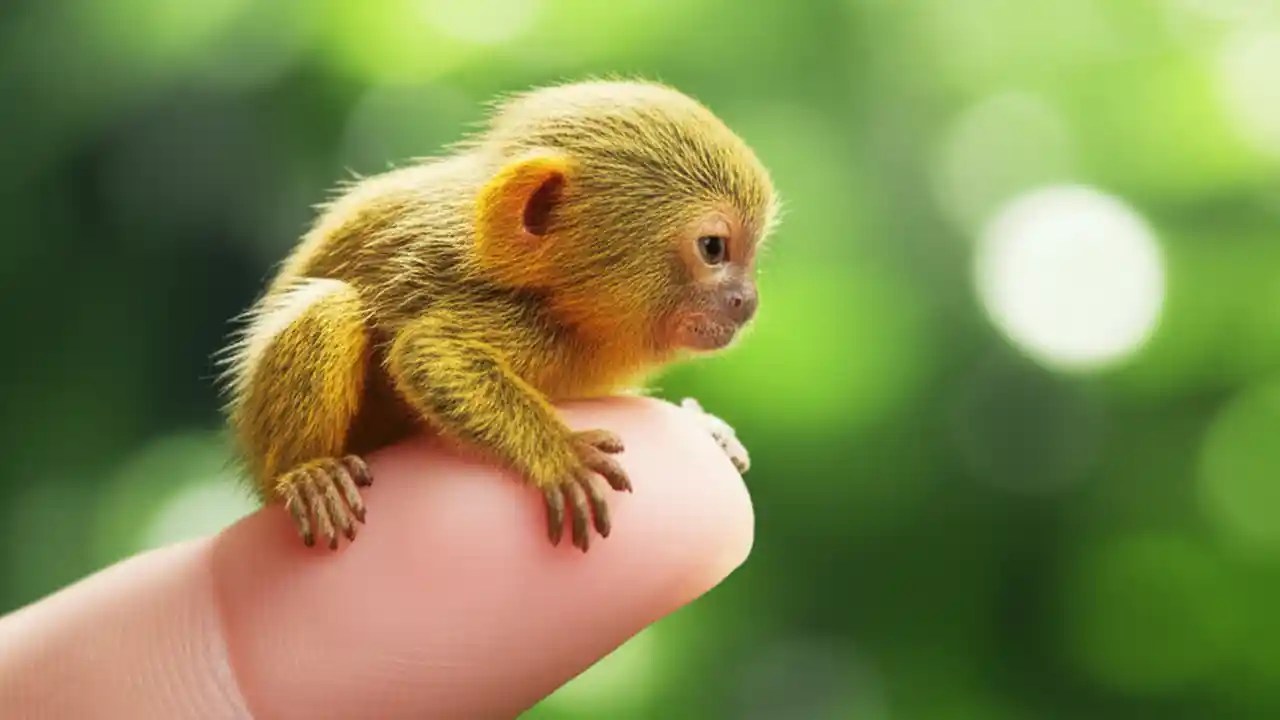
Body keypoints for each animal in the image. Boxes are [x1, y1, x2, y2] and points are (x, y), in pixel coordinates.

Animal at [220, 79, 778, 552]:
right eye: (713, 249)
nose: (747, 301)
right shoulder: (528, 321)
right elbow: (428, 351)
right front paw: (557, 452)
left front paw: (704, 426)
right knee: (330, 310)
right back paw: (307, 472)